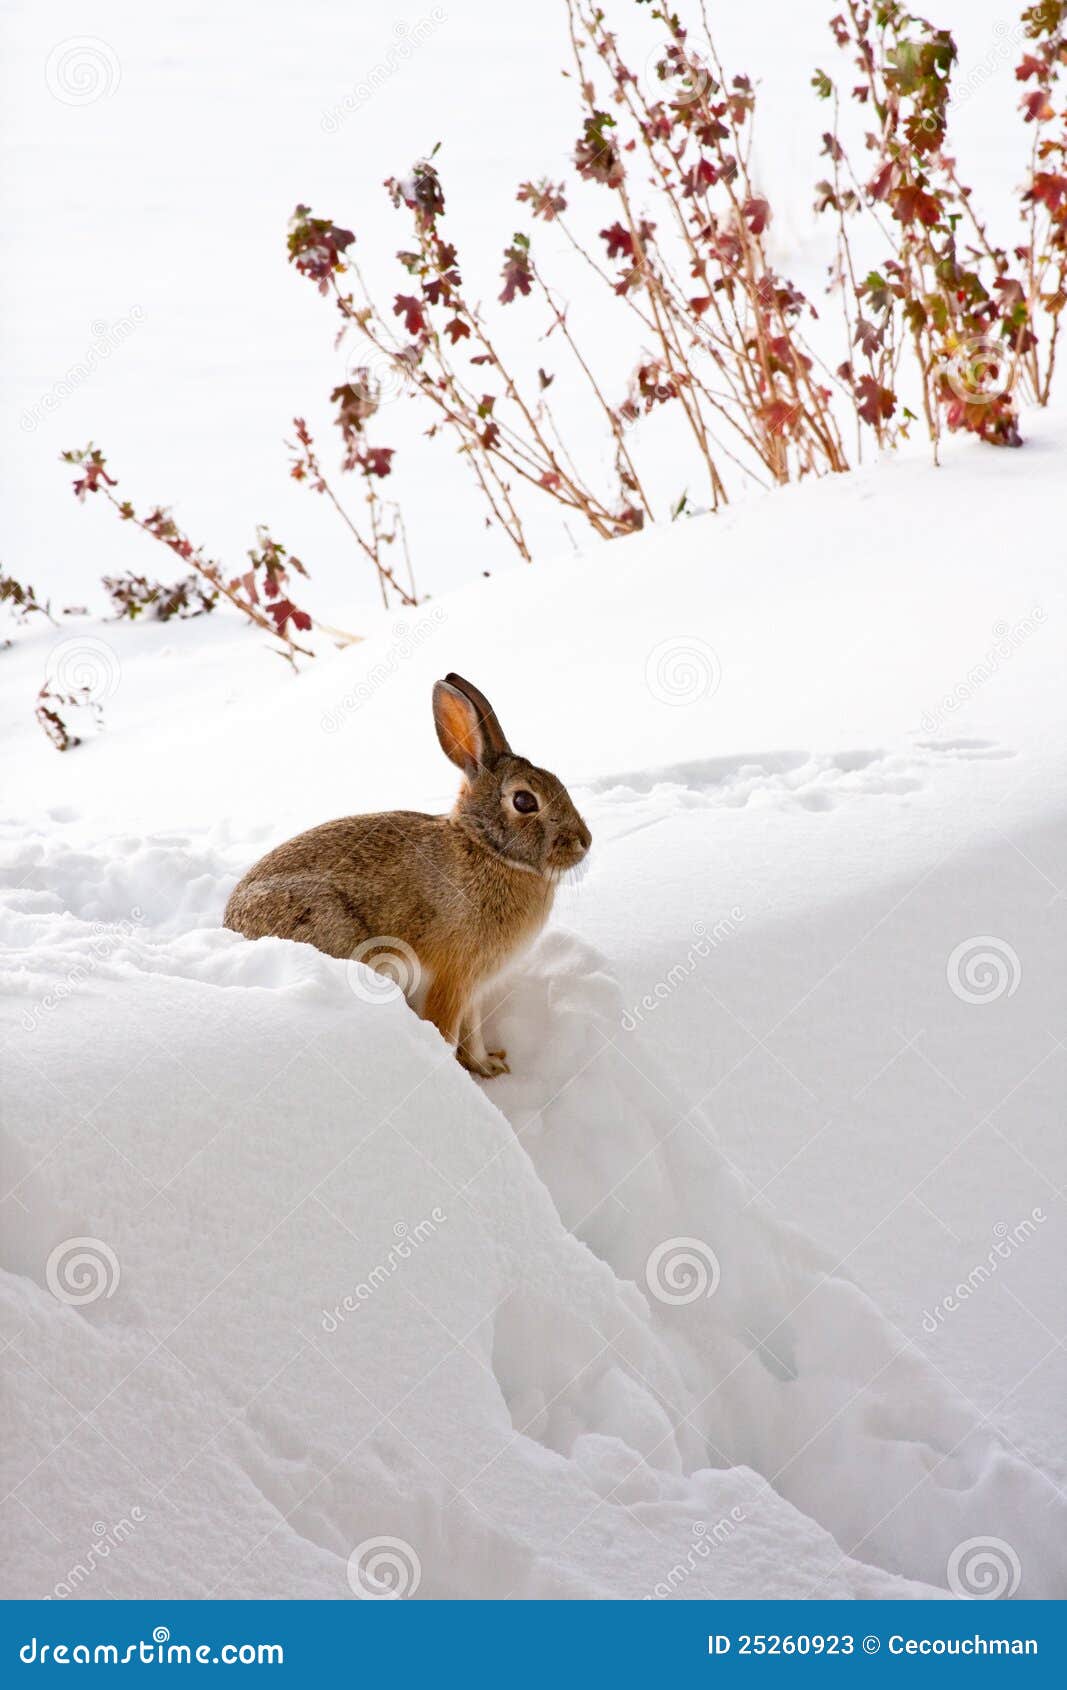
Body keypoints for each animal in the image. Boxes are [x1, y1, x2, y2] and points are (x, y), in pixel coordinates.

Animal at [224, 673, 591, 1077]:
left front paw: (489, 1066)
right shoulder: (453, 978)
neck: (487, 850)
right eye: (525, 801)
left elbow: (473, 1031)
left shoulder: (474, 989)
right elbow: (448, 1029)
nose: (585, 841)